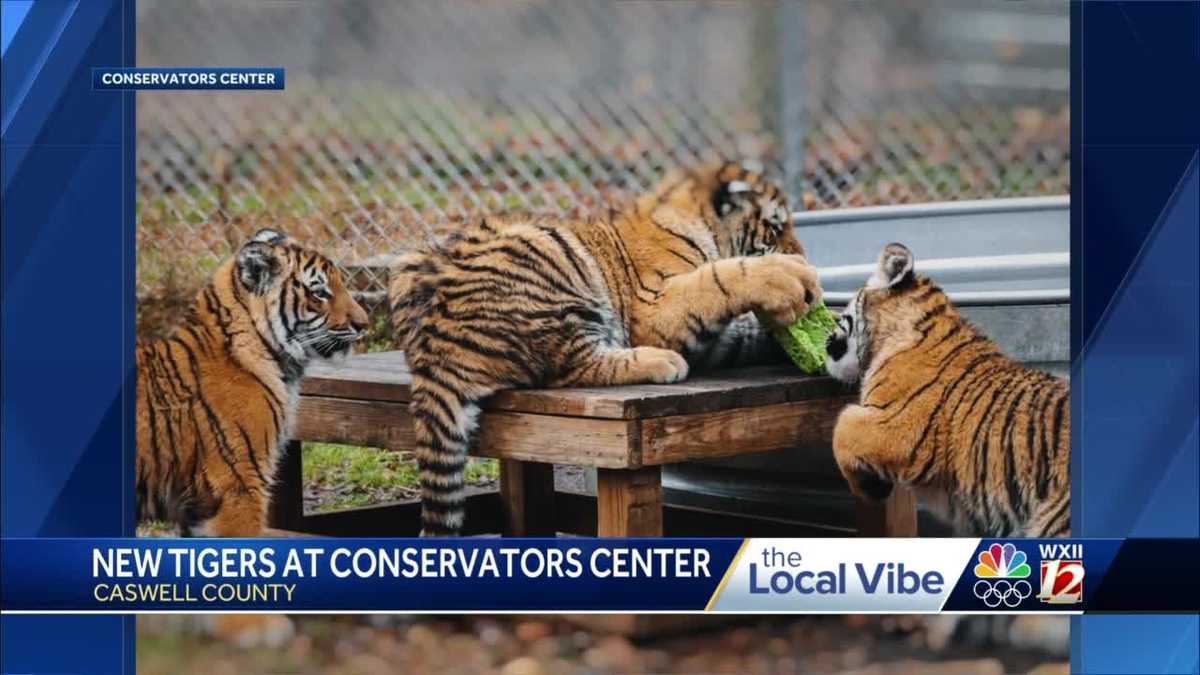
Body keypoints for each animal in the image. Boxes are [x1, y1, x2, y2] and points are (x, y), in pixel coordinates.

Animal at [389, 162, 823, 535]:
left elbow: (747, 334)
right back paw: (661, 362)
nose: (804, 255)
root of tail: (429, 345)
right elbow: (719, 278)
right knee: (572, 365)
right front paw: (788, 278)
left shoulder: (713, 341)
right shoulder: (654, 309)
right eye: (775, 228)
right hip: (547, 251)